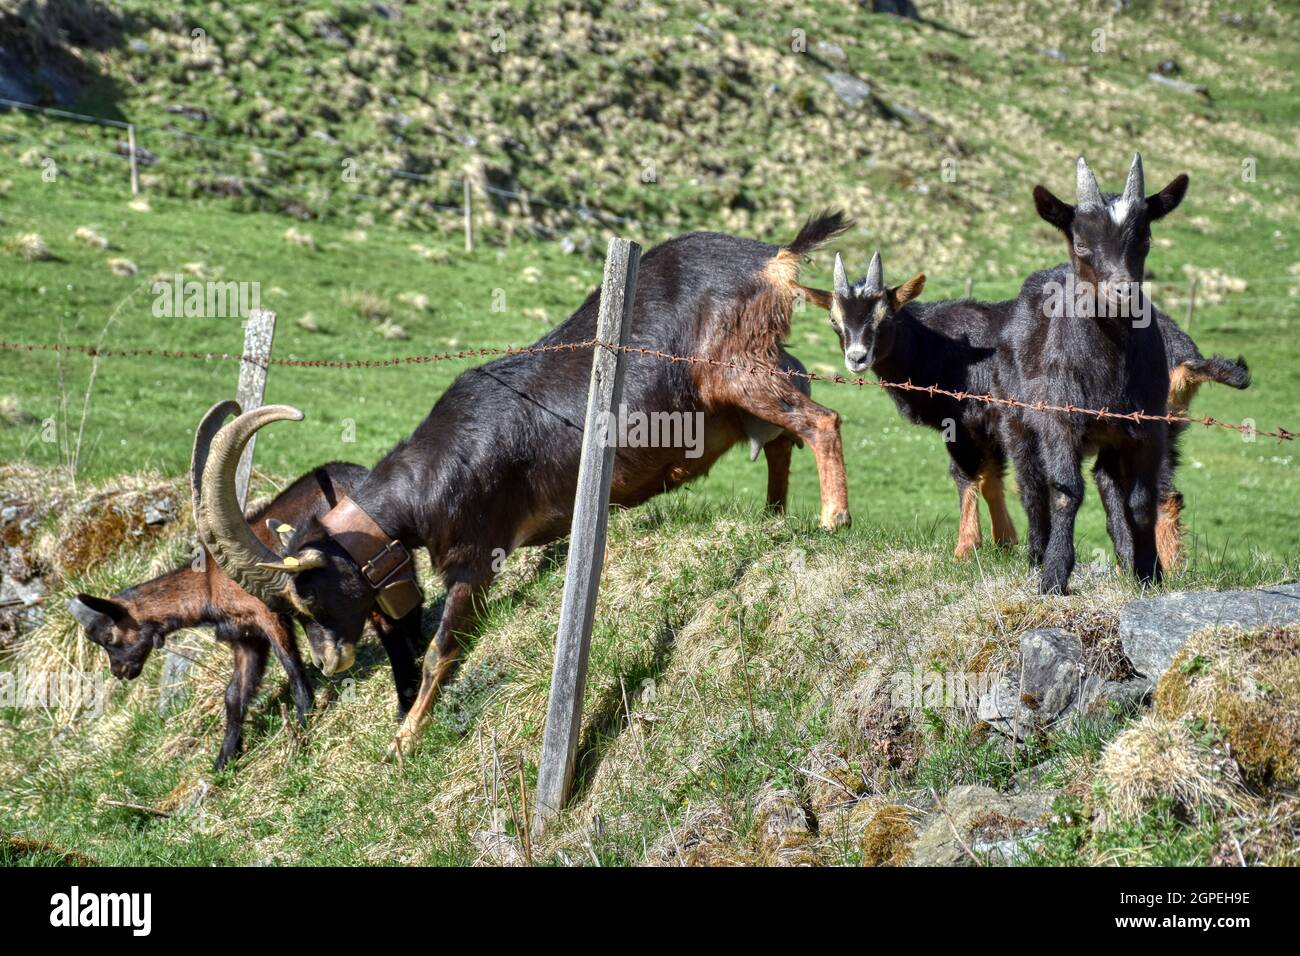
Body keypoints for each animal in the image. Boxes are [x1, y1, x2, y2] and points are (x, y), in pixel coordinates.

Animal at [69, 402, 422, 770]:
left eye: (109, 638)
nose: (120, 672)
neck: (210, 583)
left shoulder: (270, 616)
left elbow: (293, 669)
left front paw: (303, 726)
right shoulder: (245, 638)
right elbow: (234, 695)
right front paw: (224, 761)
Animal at [189, 213, 855, 755]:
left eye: (310, 597)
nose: (332, 662)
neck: (427, 482)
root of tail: (774, 257)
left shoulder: (476, 556)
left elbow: (441, 650)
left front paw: (405, 740)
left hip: (737, 370)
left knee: (820, 420)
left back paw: (833, 519)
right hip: (754, 374)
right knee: (784, 433)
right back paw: (773, 517)